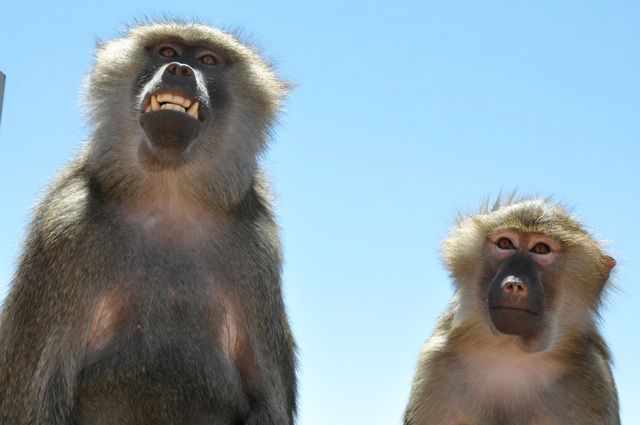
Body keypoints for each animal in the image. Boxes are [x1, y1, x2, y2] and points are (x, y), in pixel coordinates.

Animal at [0, 22, 296, 425]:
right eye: (166, 52)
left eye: (207, 60)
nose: (180, 71)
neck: (168, 195)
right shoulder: (66, 227)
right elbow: (33, 403)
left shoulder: (258, 249)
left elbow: (270, 405)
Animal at [404, 197, 620, 425]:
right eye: (505, 244)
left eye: (541, 248)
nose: (514, 284)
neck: (510, 350)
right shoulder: (436, 361)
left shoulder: (593, 376)